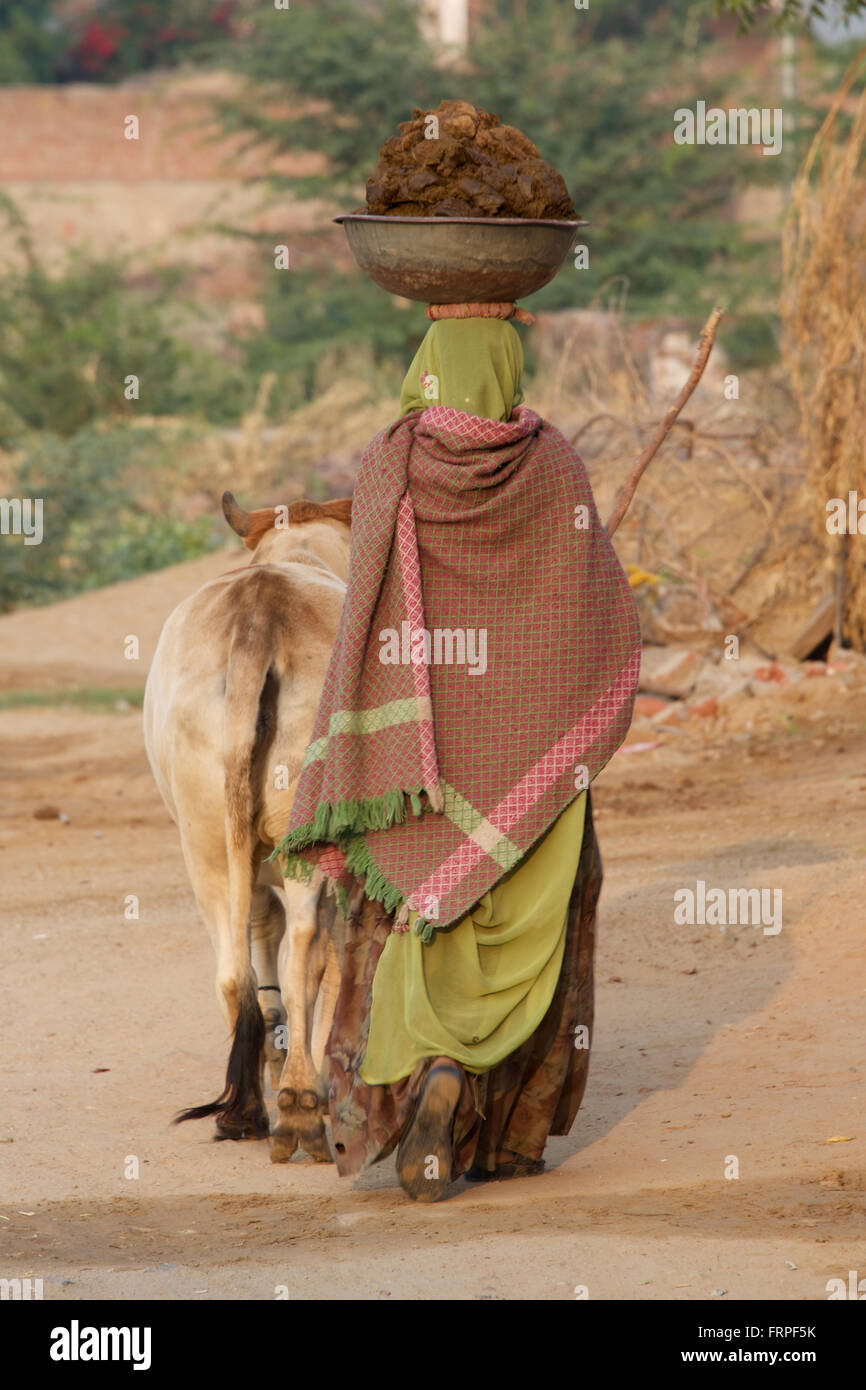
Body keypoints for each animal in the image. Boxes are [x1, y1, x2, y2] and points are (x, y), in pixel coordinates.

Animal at [143, 491, 351, 1164]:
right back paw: (301, 1109)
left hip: (206, 839)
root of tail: (260, 612)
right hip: (307, 837)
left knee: (236, 970)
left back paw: (249, 1111)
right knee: (305, 949)